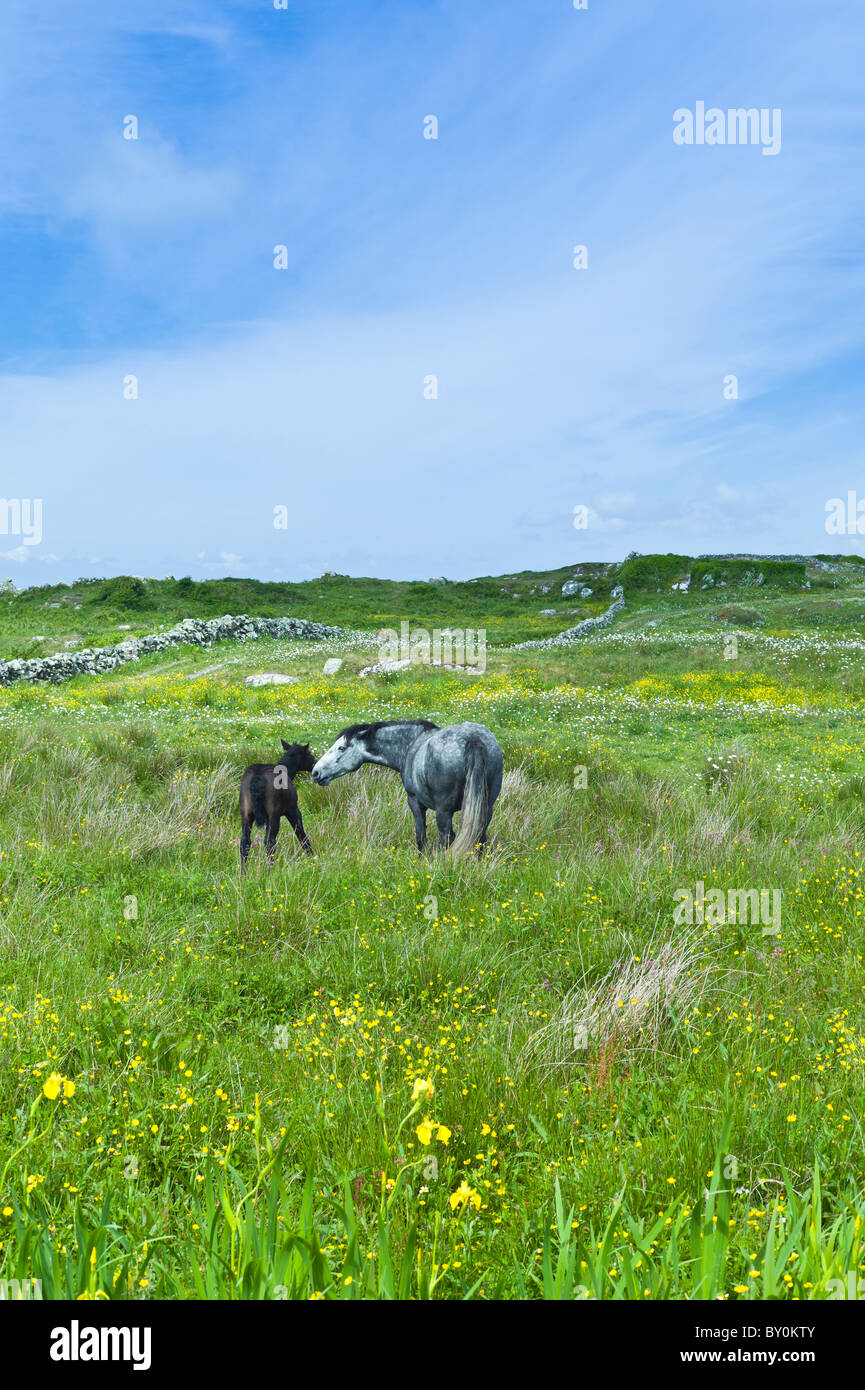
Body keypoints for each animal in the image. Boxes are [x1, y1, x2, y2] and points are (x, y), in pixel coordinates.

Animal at [239, 740, 316, 869]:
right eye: (309, 753)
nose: (316, 761)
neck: (289, 772)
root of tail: (257, 777)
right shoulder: (293, 809)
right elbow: (301, 833)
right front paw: (312, 857)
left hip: (246, 811)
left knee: (245, 841)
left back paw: (243, 871)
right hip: (273, 812)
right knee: (269, 841)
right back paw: (271, 868)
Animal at [311, 719, 503, 854]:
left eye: (341, 748)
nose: (315, 772)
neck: (411, 744)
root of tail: (473, 740)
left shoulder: (415, 802)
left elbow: (420, 835)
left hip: (443, 811)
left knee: (446, 837)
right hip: (486, 807)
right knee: (480, 836)